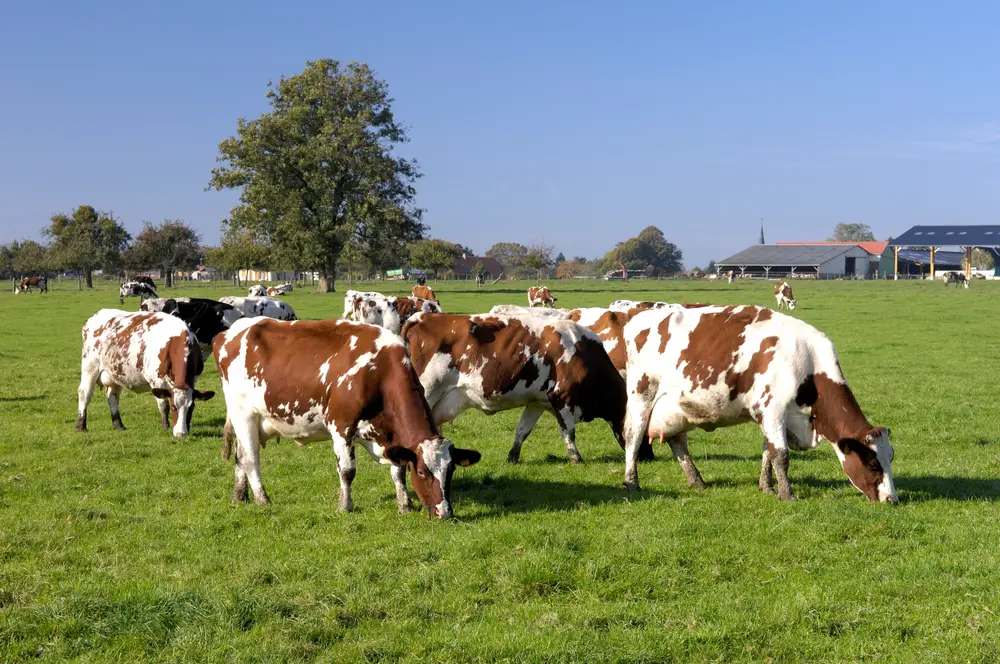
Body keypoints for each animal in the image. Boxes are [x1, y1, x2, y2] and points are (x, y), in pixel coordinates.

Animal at [77, 309, 215, 437]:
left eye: (191, 408)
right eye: (173, 407)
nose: (181, 434)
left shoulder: (194, 379)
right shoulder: (156, 381)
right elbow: (163, 405)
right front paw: (166, 427)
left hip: (115, 374)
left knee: (113, 397)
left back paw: (119, 425)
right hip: (90, 367)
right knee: (85, 393)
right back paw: (81, 426)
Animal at [213, 317, 481, 517]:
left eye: (451, 471)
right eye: (424, 472)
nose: (444, 512)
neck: (379, 372)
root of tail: (230, 332)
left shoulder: (391, 437)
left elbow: (399, 470)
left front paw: (404, 505)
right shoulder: (341, 426)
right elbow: (347, 471)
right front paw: (345, 506)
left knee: (240, 456)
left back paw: (240, 496)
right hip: (243, 413)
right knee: (250, 458)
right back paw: (262, 499)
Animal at [402, 313, 628, 465]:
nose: (639, 458)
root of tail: (423, 316)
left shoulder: (537, 403)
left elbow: (522, 430)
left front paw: (512, 457)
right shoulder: (563, 400)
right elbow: (568, 433)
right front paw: (576, 459)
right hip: (428, 391)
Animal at [619, 304, 897, 503]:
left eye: (891, 458)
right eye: (873, 463)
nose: (892, 499)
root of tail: (640, 315)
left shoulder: (770, 414)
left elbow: (768, 453)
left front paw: (767, 487)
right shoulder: (774, 409)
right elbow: (781, 455)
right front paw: (787, 495)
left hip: (677, 407)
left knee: (678, 442)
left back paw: (697, 481)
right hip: (642, 395)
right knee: (633, 437)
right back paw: (632, 482)